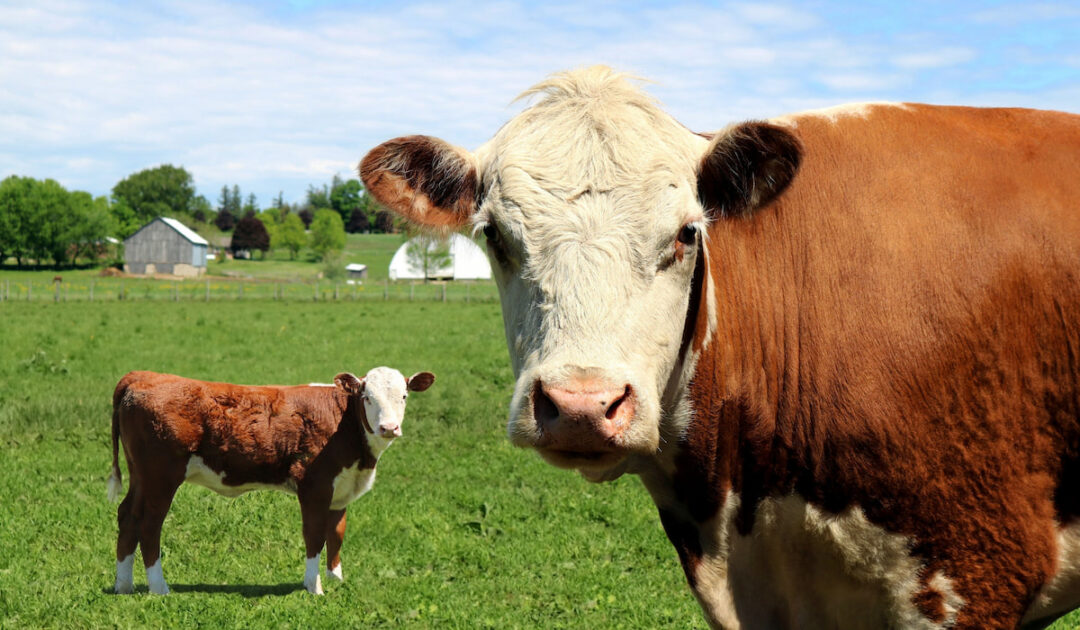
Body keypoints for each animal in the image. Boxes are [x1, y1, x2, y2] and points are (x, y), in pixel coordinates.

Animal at [107, 367, 435, 595]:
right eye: (367, 397)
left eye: (403, 396)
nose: (389, 427)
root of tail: (142, 376)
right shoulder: (314, 486)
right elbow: (315, 535)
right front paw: (314, 587)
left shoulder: (341, 488)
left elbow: (336, 533)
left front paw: (336, 579)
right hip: (161, 477)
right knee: (150, 524)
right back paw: (159, 588)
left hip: (141, 476)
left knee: (128, 517)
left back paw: (124, 585)